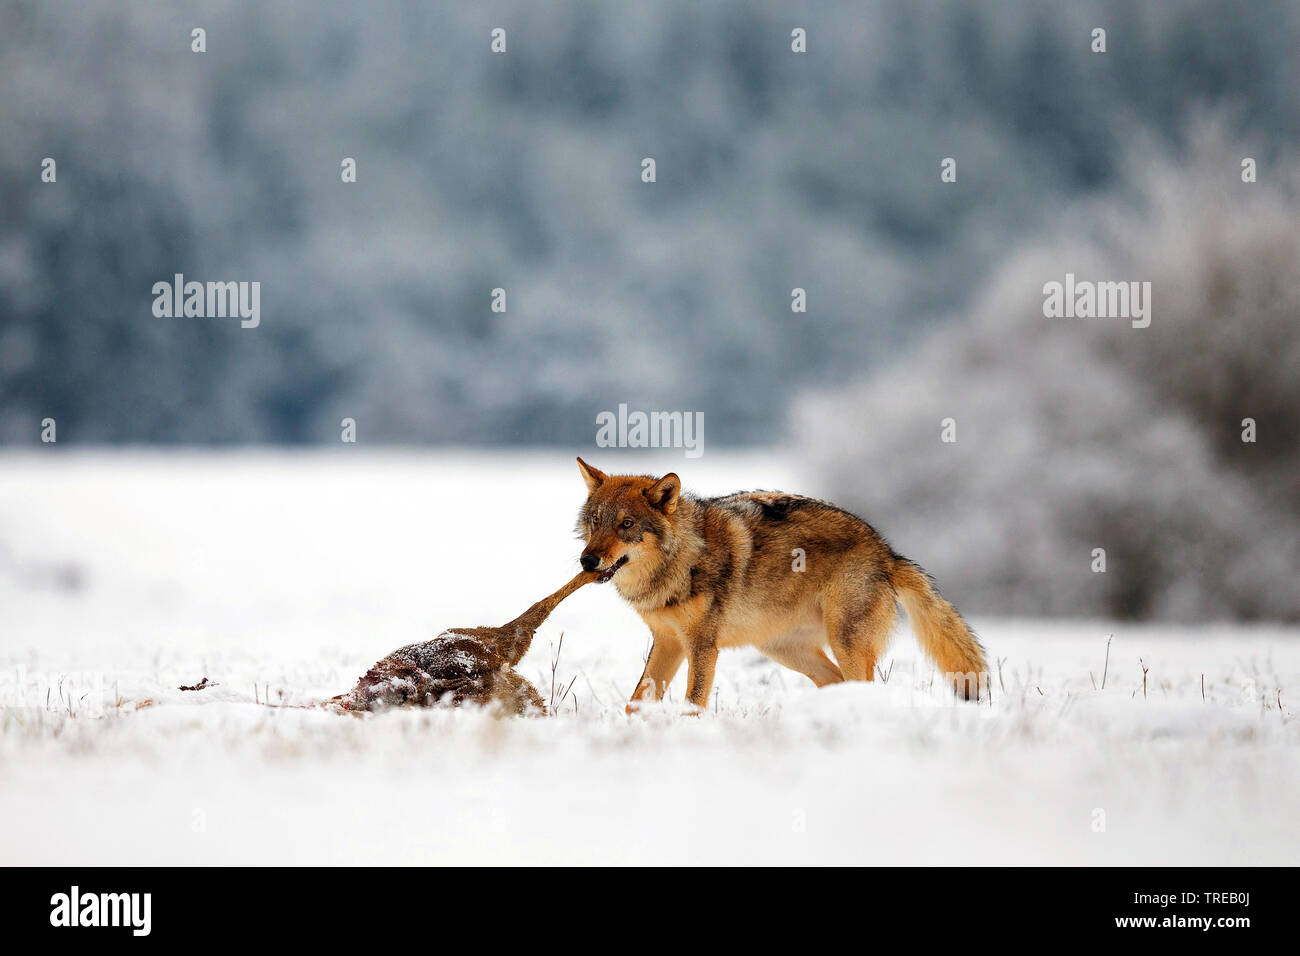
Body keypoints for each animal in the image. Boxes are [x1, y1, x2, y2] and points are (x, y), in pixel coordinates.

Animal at [574, 458, 988, 712]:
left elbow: (693, 703)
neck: (681, 560)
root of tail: (887, 551)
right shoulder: (667, 642)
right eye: (596, 520)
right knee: (836, 682)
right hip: (785, 650)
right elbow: (635, 702)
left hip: (844, 644)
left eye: (626, 524)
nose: (587, 561)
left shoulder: (702, 646)